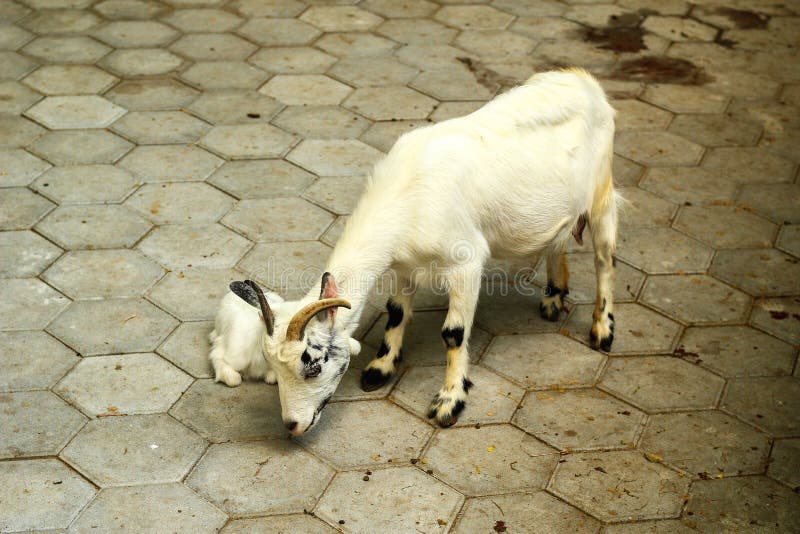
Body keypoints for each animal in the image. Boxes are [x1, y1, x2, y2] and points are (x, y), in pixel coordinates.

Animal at [210, 68, 619, 435]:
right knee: (559, 238)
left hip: (602, 192)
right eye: (273, 368)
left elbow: (453, 333)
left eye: (313, 364)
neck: (408, 194)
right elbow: (395, 312)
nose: (292, 425)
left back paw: (602, 330)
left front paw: (449, 402)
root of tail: (586, 81)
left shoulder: (466, 261)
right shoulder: (403, 264)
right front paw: (380, 368)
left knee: (604, 258)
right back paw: (553, 298)